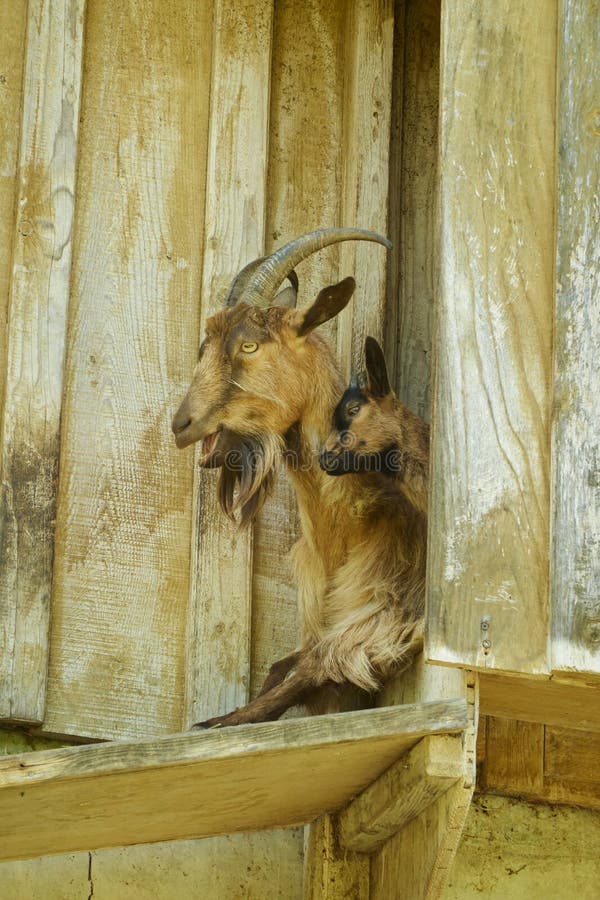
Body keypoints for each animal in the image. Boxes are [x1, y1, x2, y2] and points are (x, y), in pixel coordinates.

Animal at [172, 229, 426, 727]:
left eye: (250, 346)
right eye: (204, 347)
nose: (181, 424)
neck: (342, 532)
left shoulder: (385, 617)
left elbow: (311, 667)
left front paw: (214, 722)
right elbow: (281, 667)